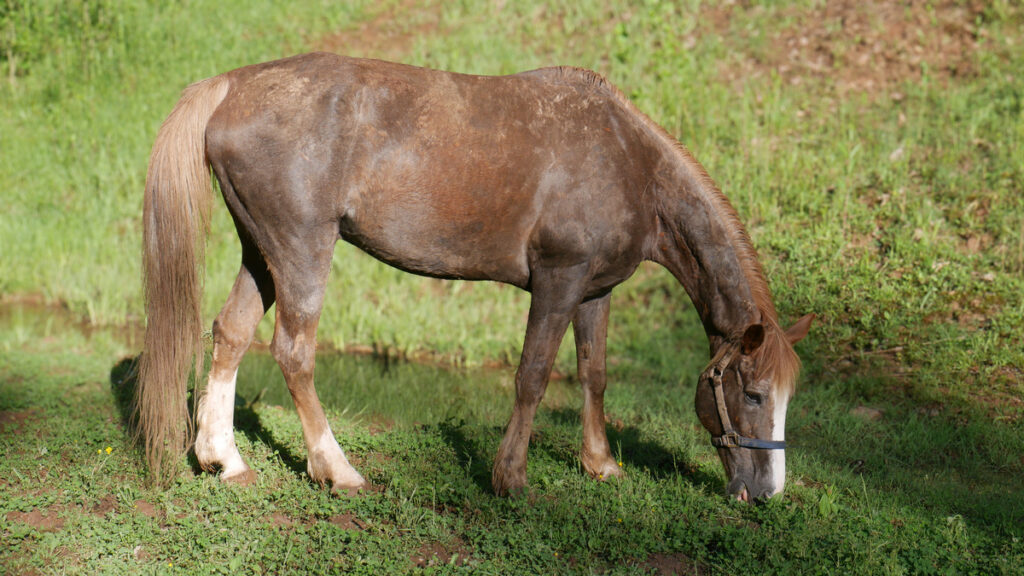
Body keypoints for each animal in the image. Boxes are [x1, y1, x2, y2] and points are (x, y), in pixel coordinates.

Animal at [136, 52, 812, 502]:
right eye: (754, 394)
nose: (767, 492)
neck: (627, 162)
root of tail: (233, 85)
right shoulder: (559, 280)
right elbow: (533, 376)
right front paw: (509, 478)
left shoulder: (595, 291)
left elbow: (593, 375)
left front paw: (600, 465)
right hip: (302, 249)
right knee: (294, 351)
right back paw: (337, 470)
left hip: (262, 251)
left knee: (230, 333)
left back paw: (223, 458)